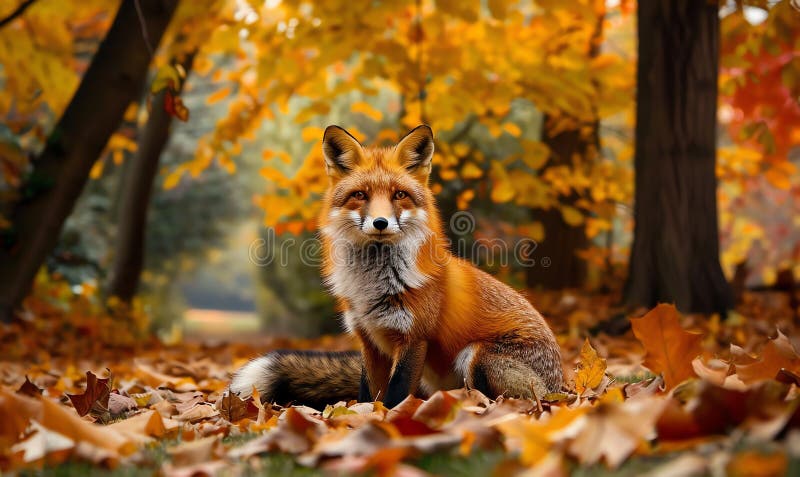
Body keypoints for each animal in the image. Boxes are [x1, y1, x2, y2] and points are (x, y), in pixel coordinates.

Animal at [229, 125, 563, 409]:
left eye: (399, 195)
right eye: (360, 195)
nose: (380, 222)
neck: (373, 286)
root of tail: (561, 389)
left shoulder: (414, 338)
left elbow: (395, 394)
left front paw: (387, 420)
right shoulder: (369, 339)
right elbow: (368, 393)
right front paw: (360, 417)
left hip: (477, 355)